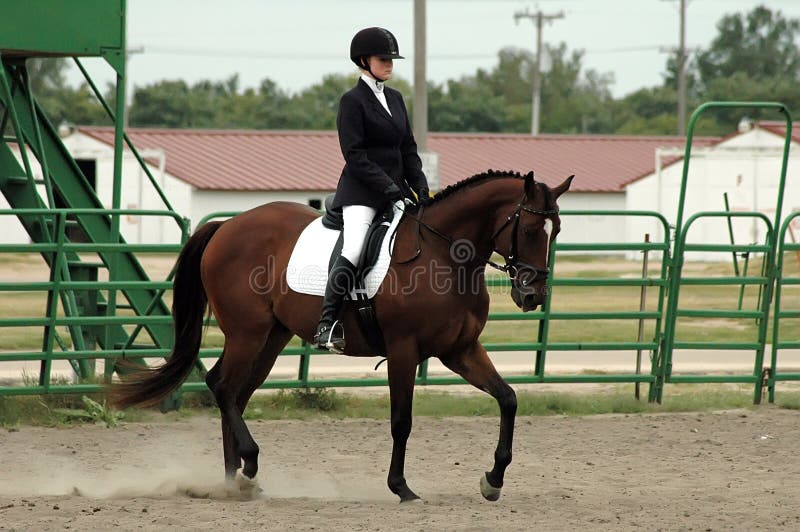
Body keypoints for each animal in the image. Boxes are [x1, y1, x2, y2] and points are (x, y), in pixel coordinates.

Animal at [111, 170, 573, 502]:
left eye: (557, 231)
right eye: (530, 231)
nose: (532, 295)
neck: (443, 254)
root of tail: (227, 226)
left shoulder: (460, 350)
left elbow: (508, 398)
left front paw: (493, 480)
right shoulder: (404, 350)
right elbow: (402, 421)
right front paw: (401, 487)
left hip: (270, 338)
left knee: (233, 394)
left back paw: (234, 481)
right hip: (247, 333)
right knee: (222, 387)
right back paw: (248, 467)